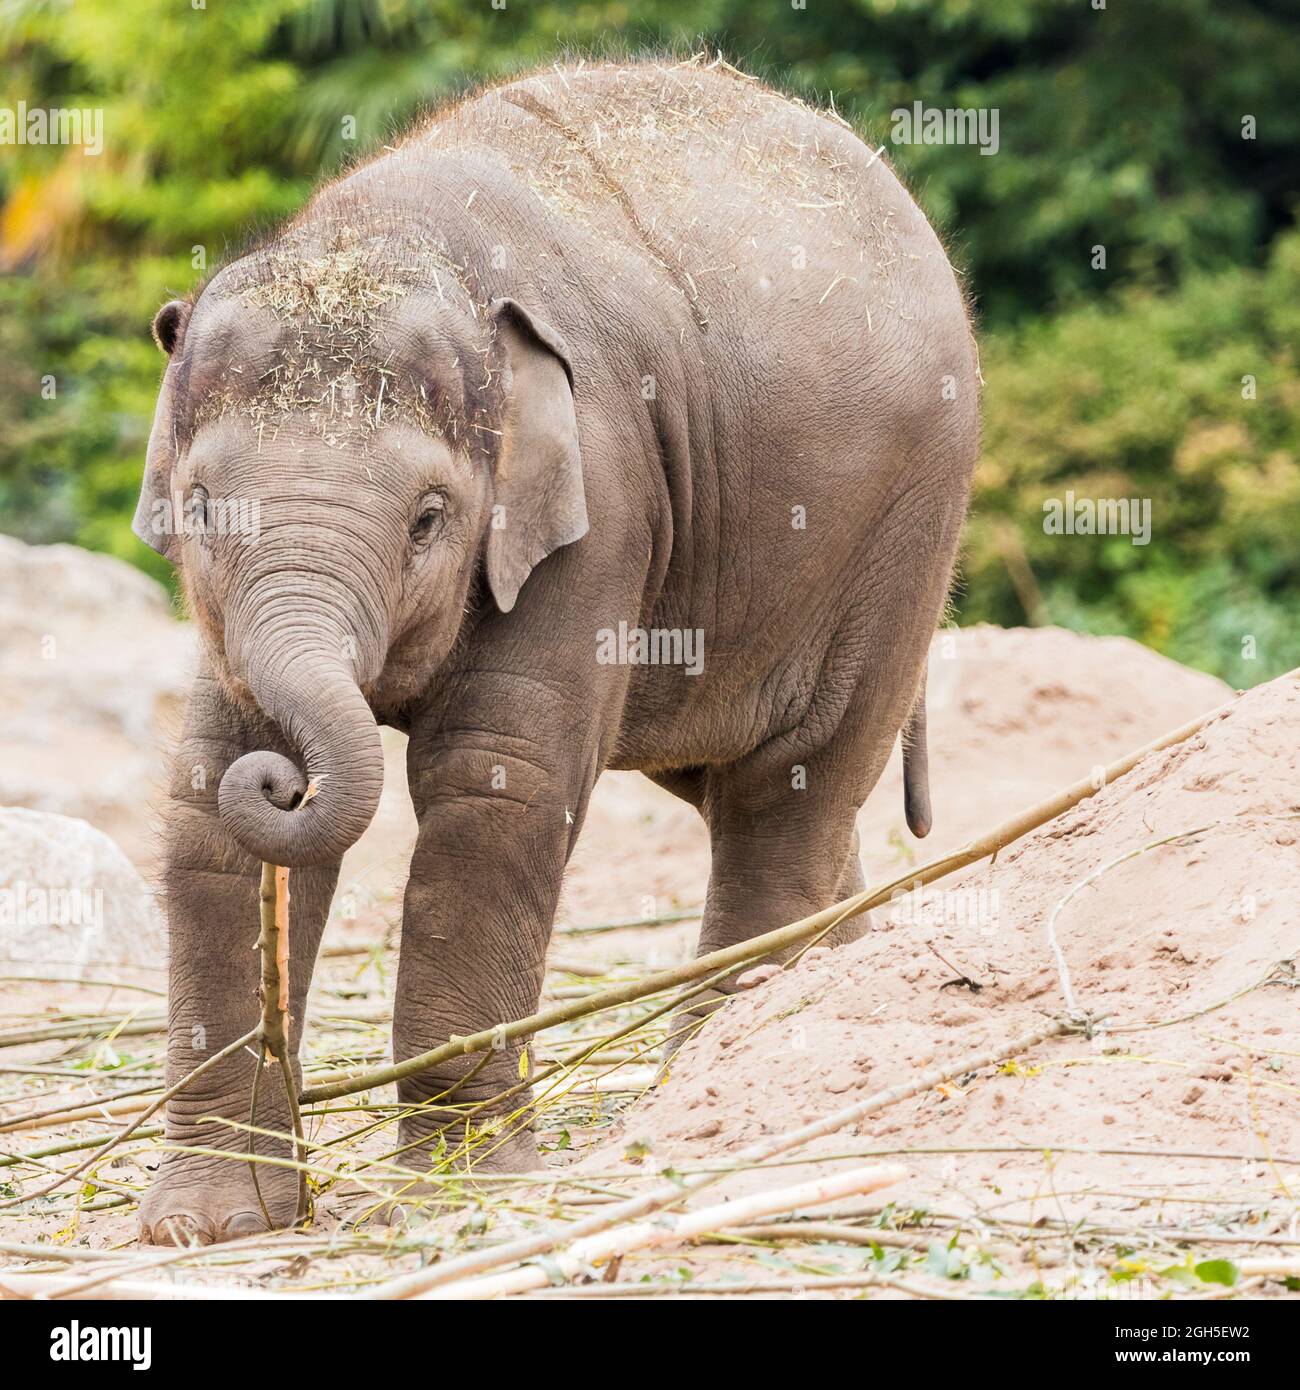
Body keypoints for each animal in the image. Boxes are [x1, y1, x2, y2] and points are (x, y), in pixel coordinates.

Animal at [133, 57, 978, 1246]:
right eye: (202, 509)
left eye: (429, 519)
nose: (287, 776)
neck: (385, 236)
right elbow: (207, 804)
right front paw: (211, 1224)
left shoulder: (603, 494)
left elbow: (494, 781)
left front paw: (461, 1194)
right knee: (752, 794)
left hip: (903, 529)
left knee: (792, 788)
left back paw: (716, 1082)